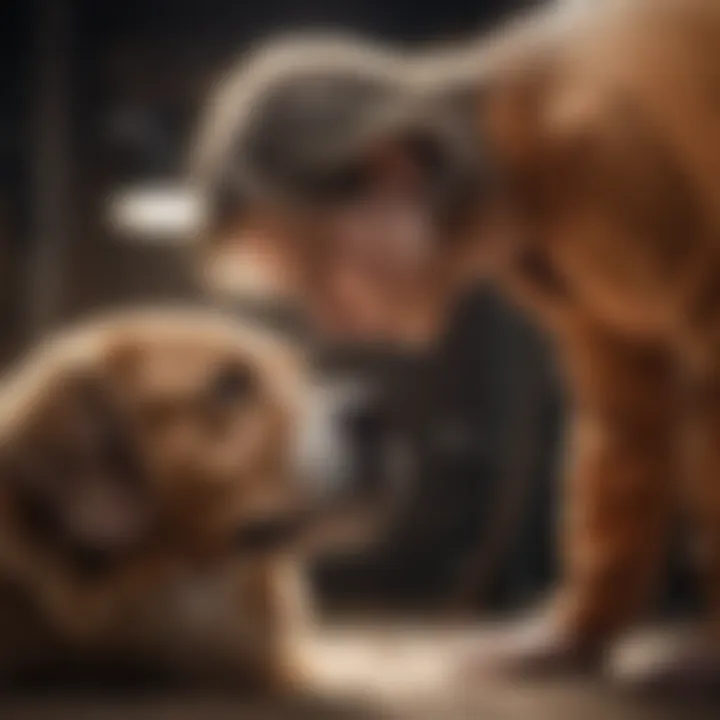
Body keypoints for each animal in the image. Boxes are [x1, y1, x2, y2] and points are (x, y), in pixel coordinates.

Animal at [188, 0, 720, 692]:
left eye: (315, 269)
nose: (335, 322)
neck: (506, 164)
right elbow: (627, 406)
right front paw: (561, 641)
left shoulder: (613, 161)